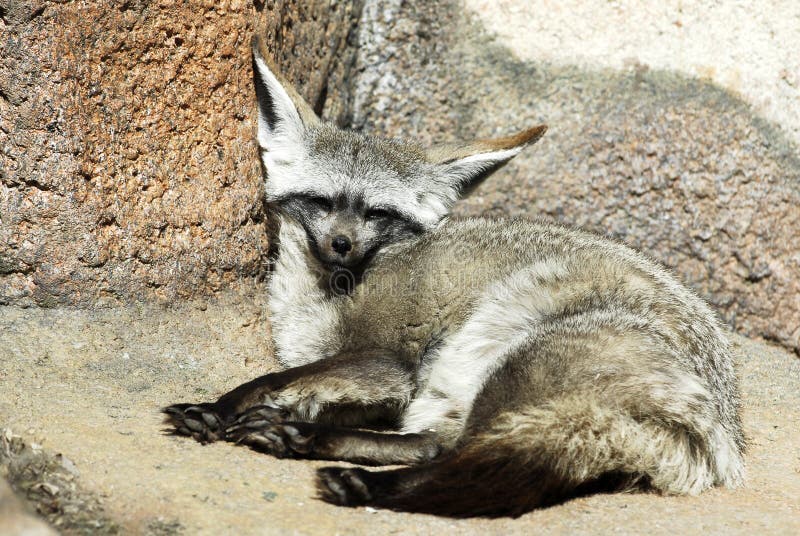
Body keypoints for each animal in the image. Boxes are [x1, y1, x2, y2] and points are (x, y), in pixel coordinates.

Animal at [163, 36, 745, 518]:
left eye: (378, 213)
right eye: (323, 201)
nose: (341, 246)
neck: (324, 296)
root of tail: (722, 435)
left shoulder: (389, 364)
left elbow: (270, 380)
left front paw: (216, 408)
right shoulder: (390, 389)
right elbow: (313, 392)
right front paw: (287, 417)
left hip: (510, 361)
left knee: (468, 459)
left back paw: (363, 484)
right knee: (435, 444)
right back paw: (303, 440)